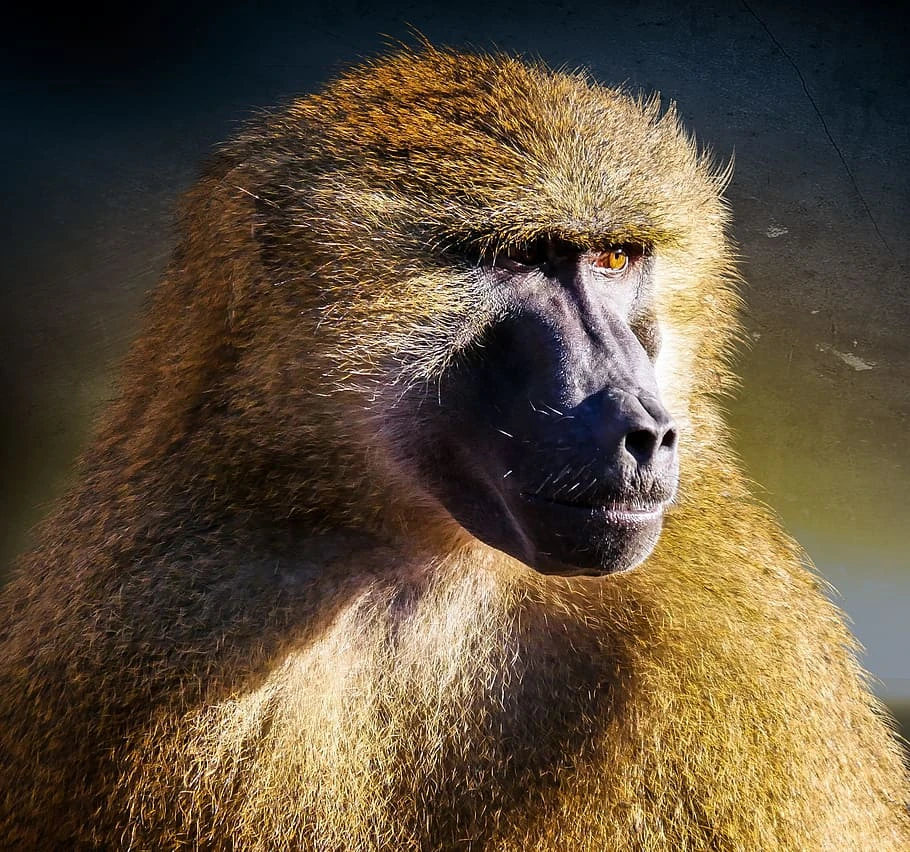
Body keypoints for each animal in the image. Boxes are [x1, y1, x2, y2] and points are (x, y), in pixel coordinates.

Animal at [1, 43, 908, 851]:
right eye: (516, 260)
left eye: (616, 257)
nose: (646, 429)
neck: (428, 578)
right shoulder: (164, 608)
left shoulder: (736, 637)